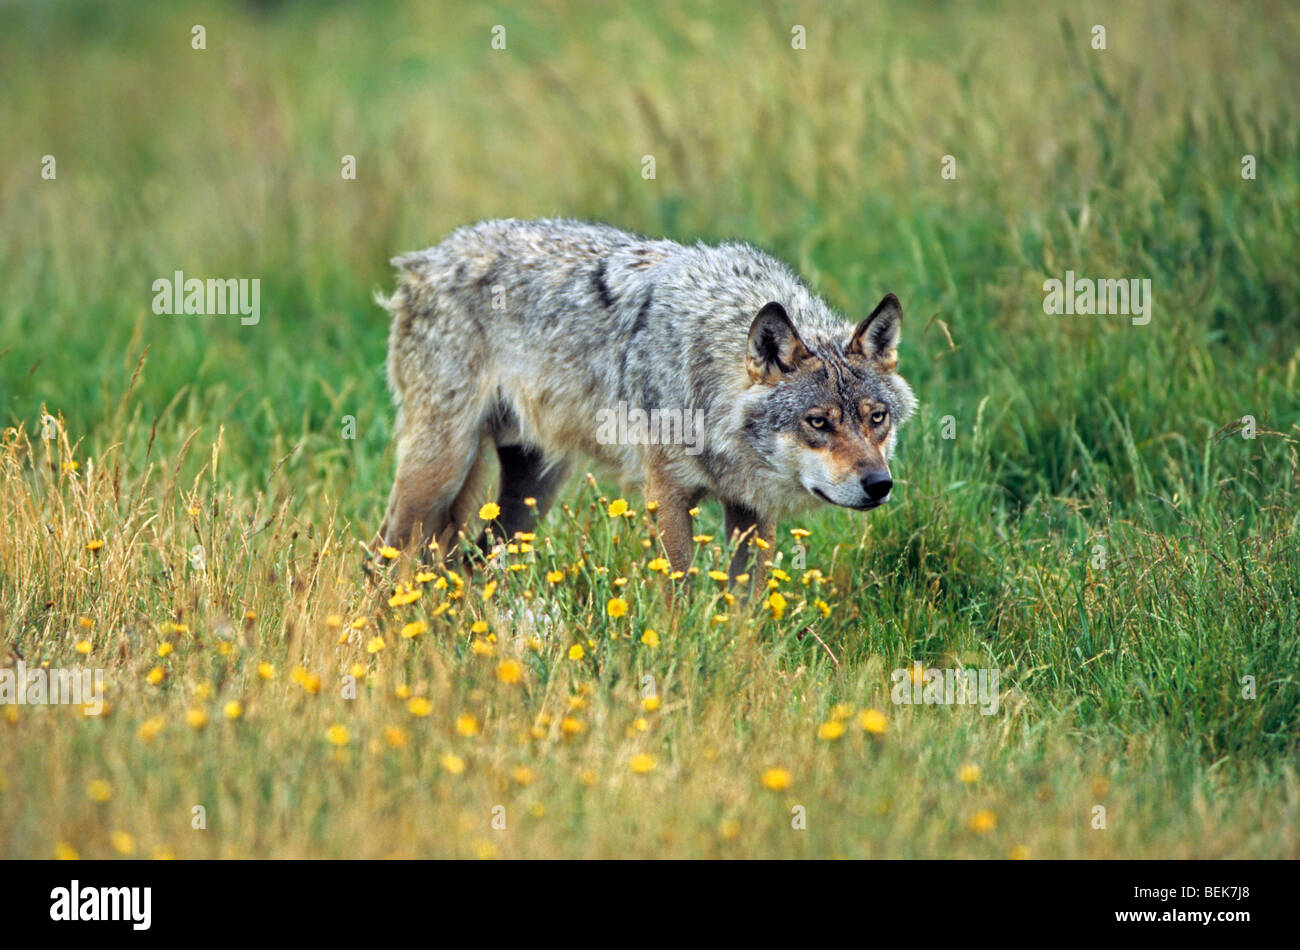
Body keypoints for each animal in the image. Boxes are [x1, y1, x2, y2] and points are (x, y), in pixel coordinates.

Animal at [377, 218, 916, 586]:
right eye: (818, 422)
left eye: (877, 419)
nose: (879, 484)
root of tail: (425, 258)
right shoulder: (668, 494)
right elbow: (679, 594)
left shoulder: (752, 508)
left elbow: (747, 613)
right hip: (439, 475)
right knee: (383, 560)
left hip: (531, 496)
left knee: (469, 565)